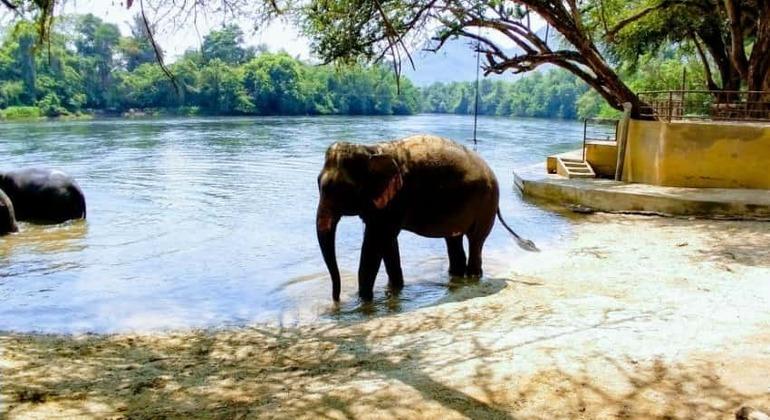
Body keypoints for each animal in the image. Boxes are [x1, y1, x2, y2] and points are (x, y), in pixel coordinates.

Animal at [316, 134, 538, 302]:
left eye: (341, 190)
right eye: (318, 184)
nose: (336, 300)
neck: (371, 148)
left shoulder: (395, 201)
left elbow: (375, 243)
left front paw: (363, 301)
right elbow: (387, 243)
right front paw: (395, 289)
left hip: (486, 204)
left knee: (476, 240)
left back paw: (473, 276)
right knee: (454, 240)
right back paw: (456, 276)